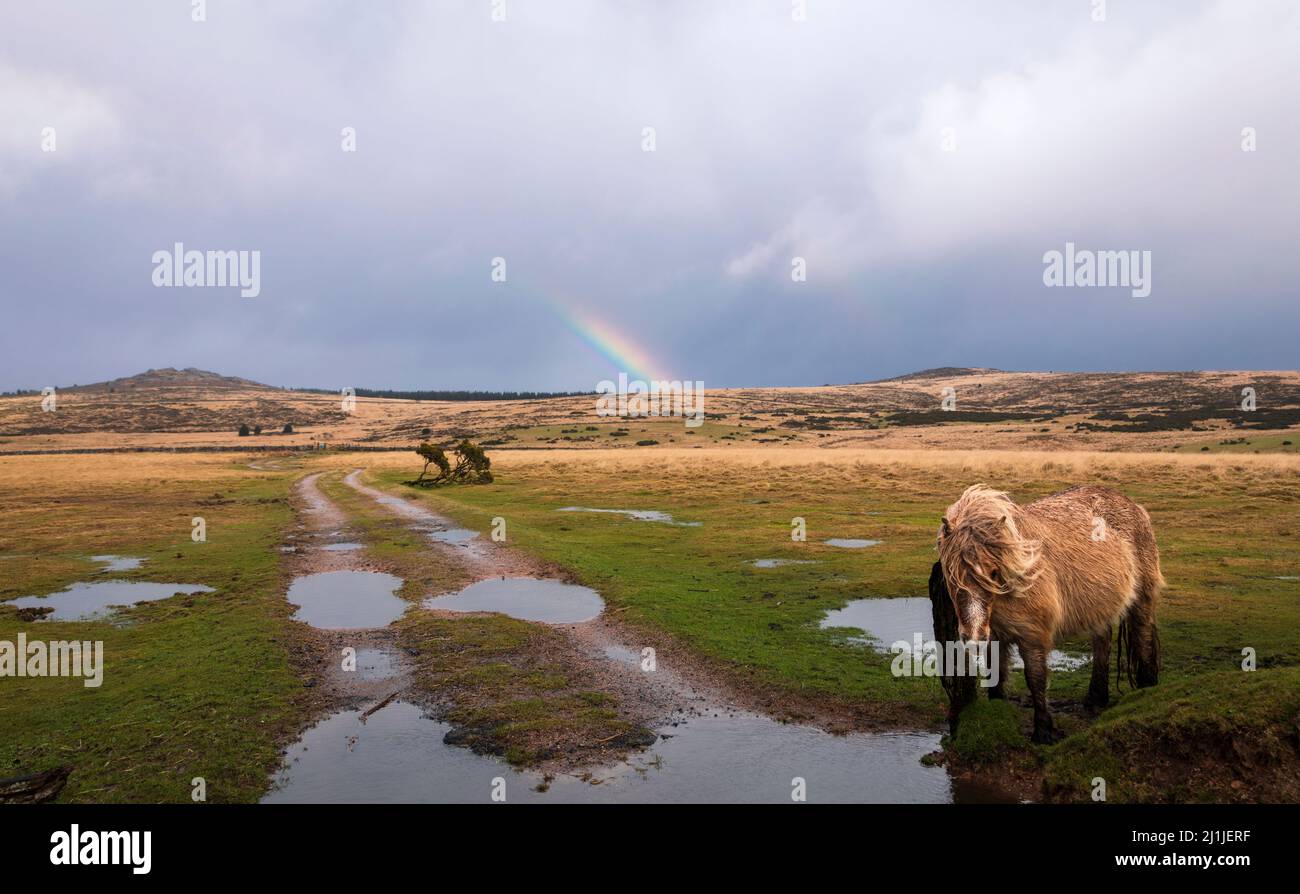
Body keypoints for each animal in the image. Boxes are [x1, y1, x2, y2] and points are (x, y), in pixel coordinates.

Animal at [936, 484, 1163, 743]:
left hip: (1142, 600)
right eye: (951, 573)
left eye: (993, 573)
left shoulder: (1033, 636)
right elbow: (996, 673)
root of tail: (1135, 506)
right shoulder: (995, 636)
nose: (973, 636)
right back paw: (1096, 698)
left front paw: (1043, 732)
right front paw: (998, 711)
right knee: (1102, 644)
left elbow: (1035, 679)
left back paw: (1146, 688)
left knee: (1143, 637)